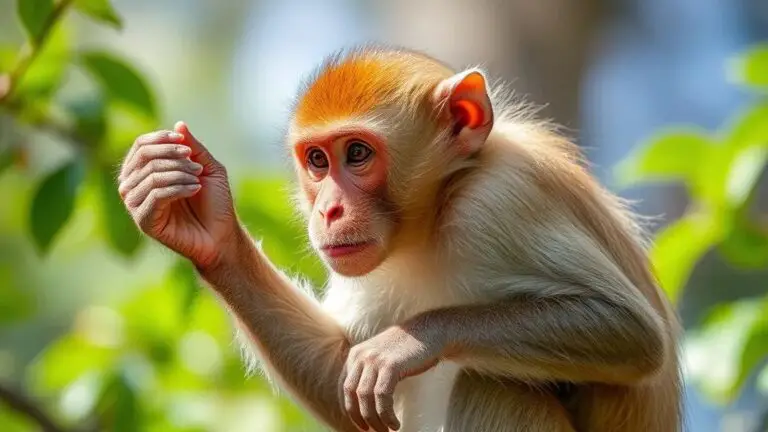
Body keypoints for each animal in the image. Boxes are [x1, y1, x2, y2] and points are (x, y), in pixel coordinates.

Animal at [117, 45, 683, 432]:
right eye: (317, 160)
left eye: (357, 154)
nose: (328, 209)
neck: (434, 217)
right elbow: (339, 377)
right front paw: (204, 225)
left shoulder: (502, 200)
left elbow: (633, 334)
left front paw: (410, 341)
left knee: (494, 384)